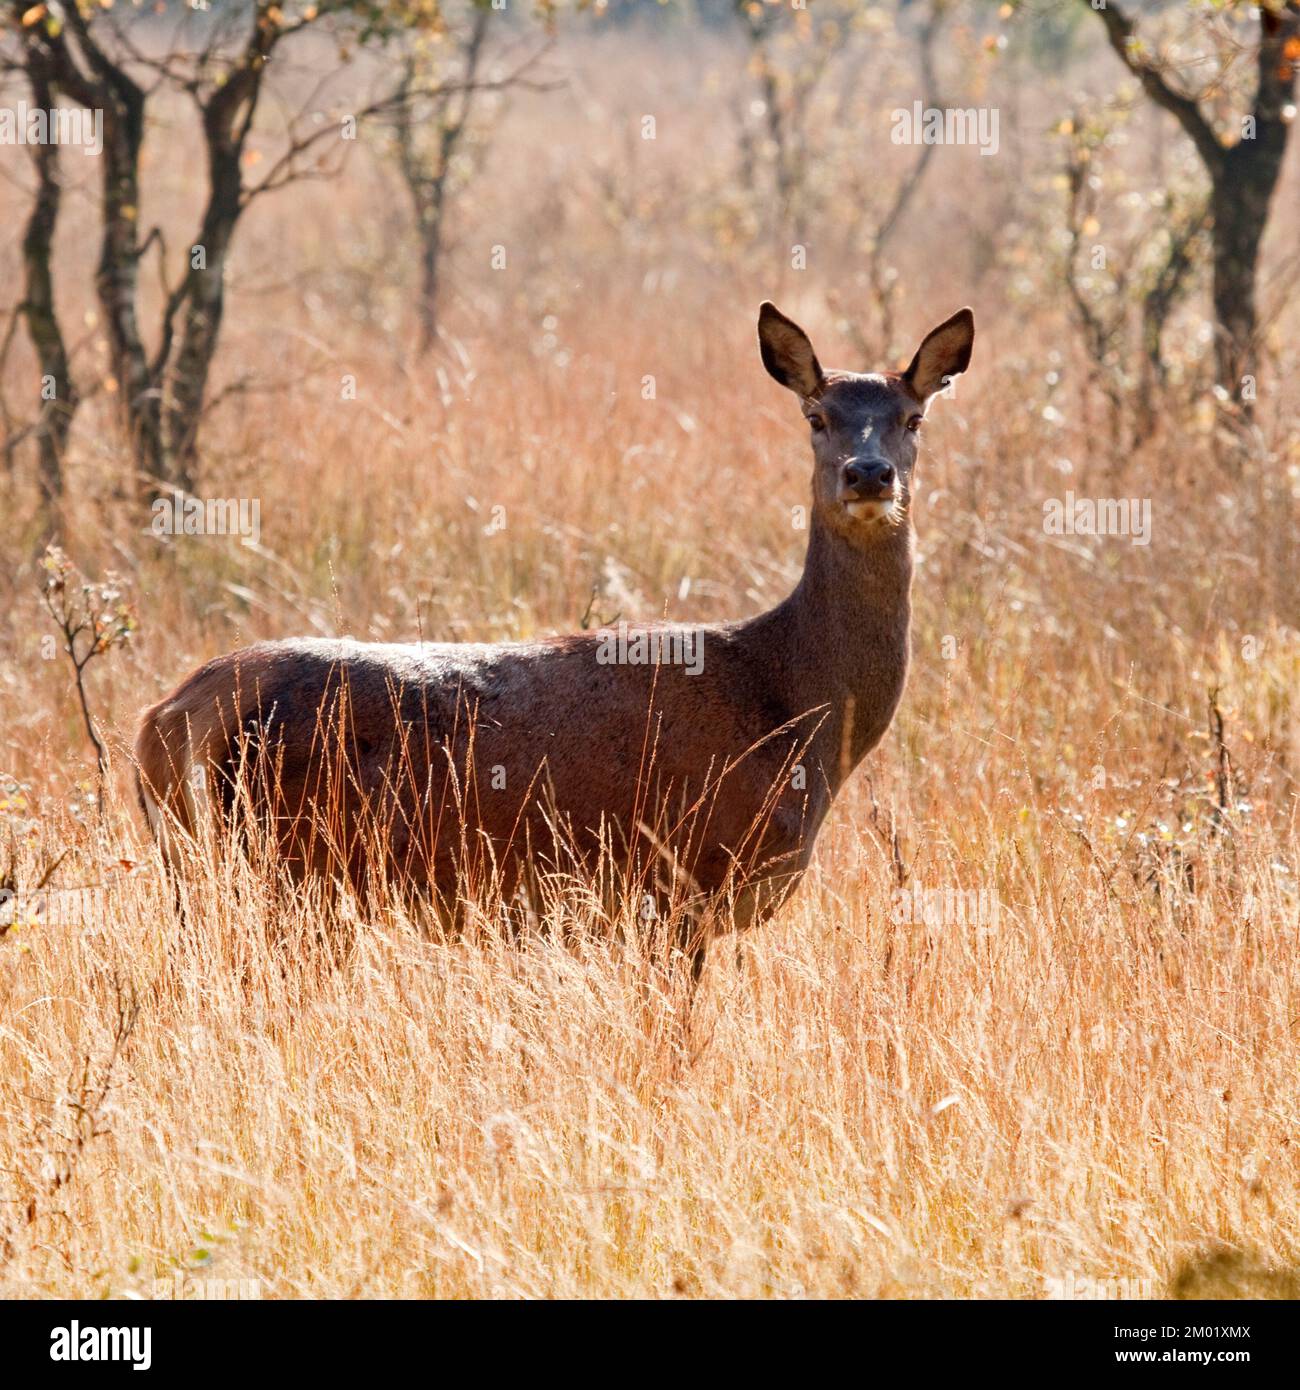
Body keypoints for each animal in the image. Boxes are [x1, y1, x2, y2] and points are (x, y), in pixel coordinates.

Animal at [135, 302, 974, 975]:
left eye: (913, 418)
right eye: (815, 417)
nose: (869, 475)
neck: (793, 704)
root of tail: (165, 718)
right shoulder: (677, 881)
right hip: (288, 861)